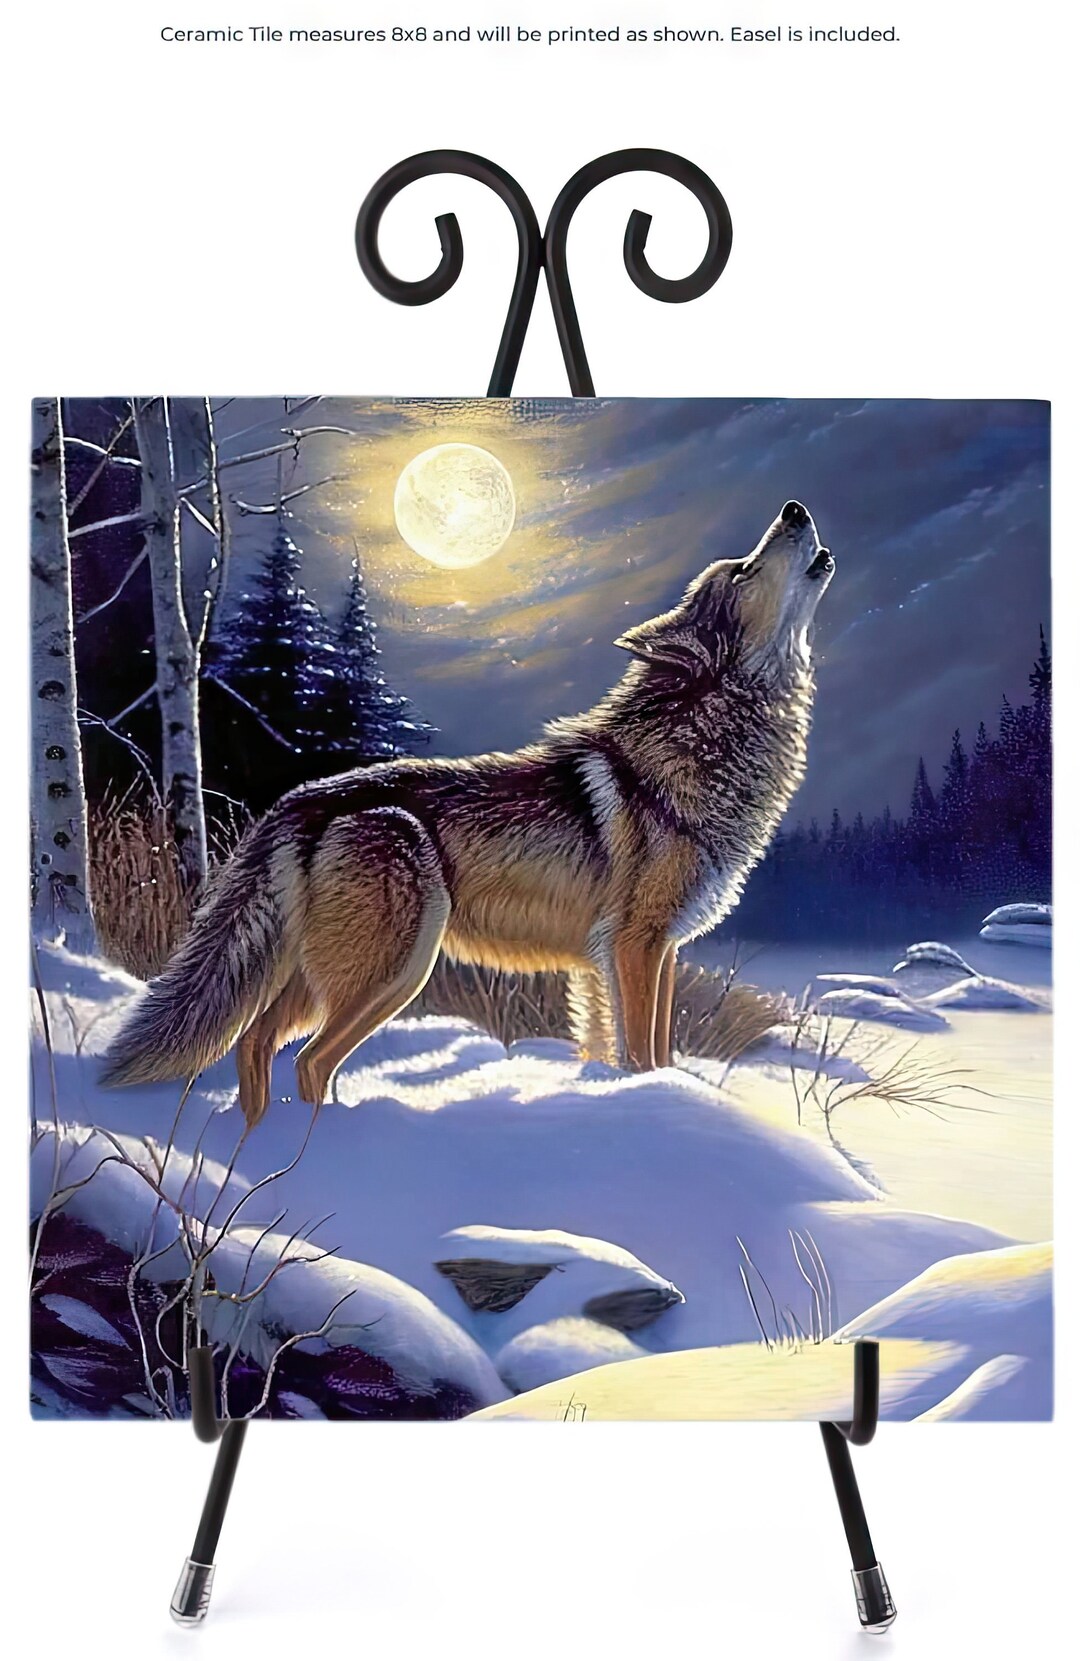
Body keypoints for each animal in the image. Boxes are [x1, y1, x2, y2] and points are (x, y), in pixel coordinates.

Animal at [102, 499, 834, 1125]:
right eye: (744, 570)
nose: (795, 508)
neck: (697, 746)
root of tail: (299, 800)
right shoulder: (636, 947)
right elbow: (644, 1053)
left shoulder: (647, 953)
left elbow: (631, 1047)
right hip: (396, 970)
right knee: (308, 1060)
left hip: (327, 975)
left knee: (255, 1043)